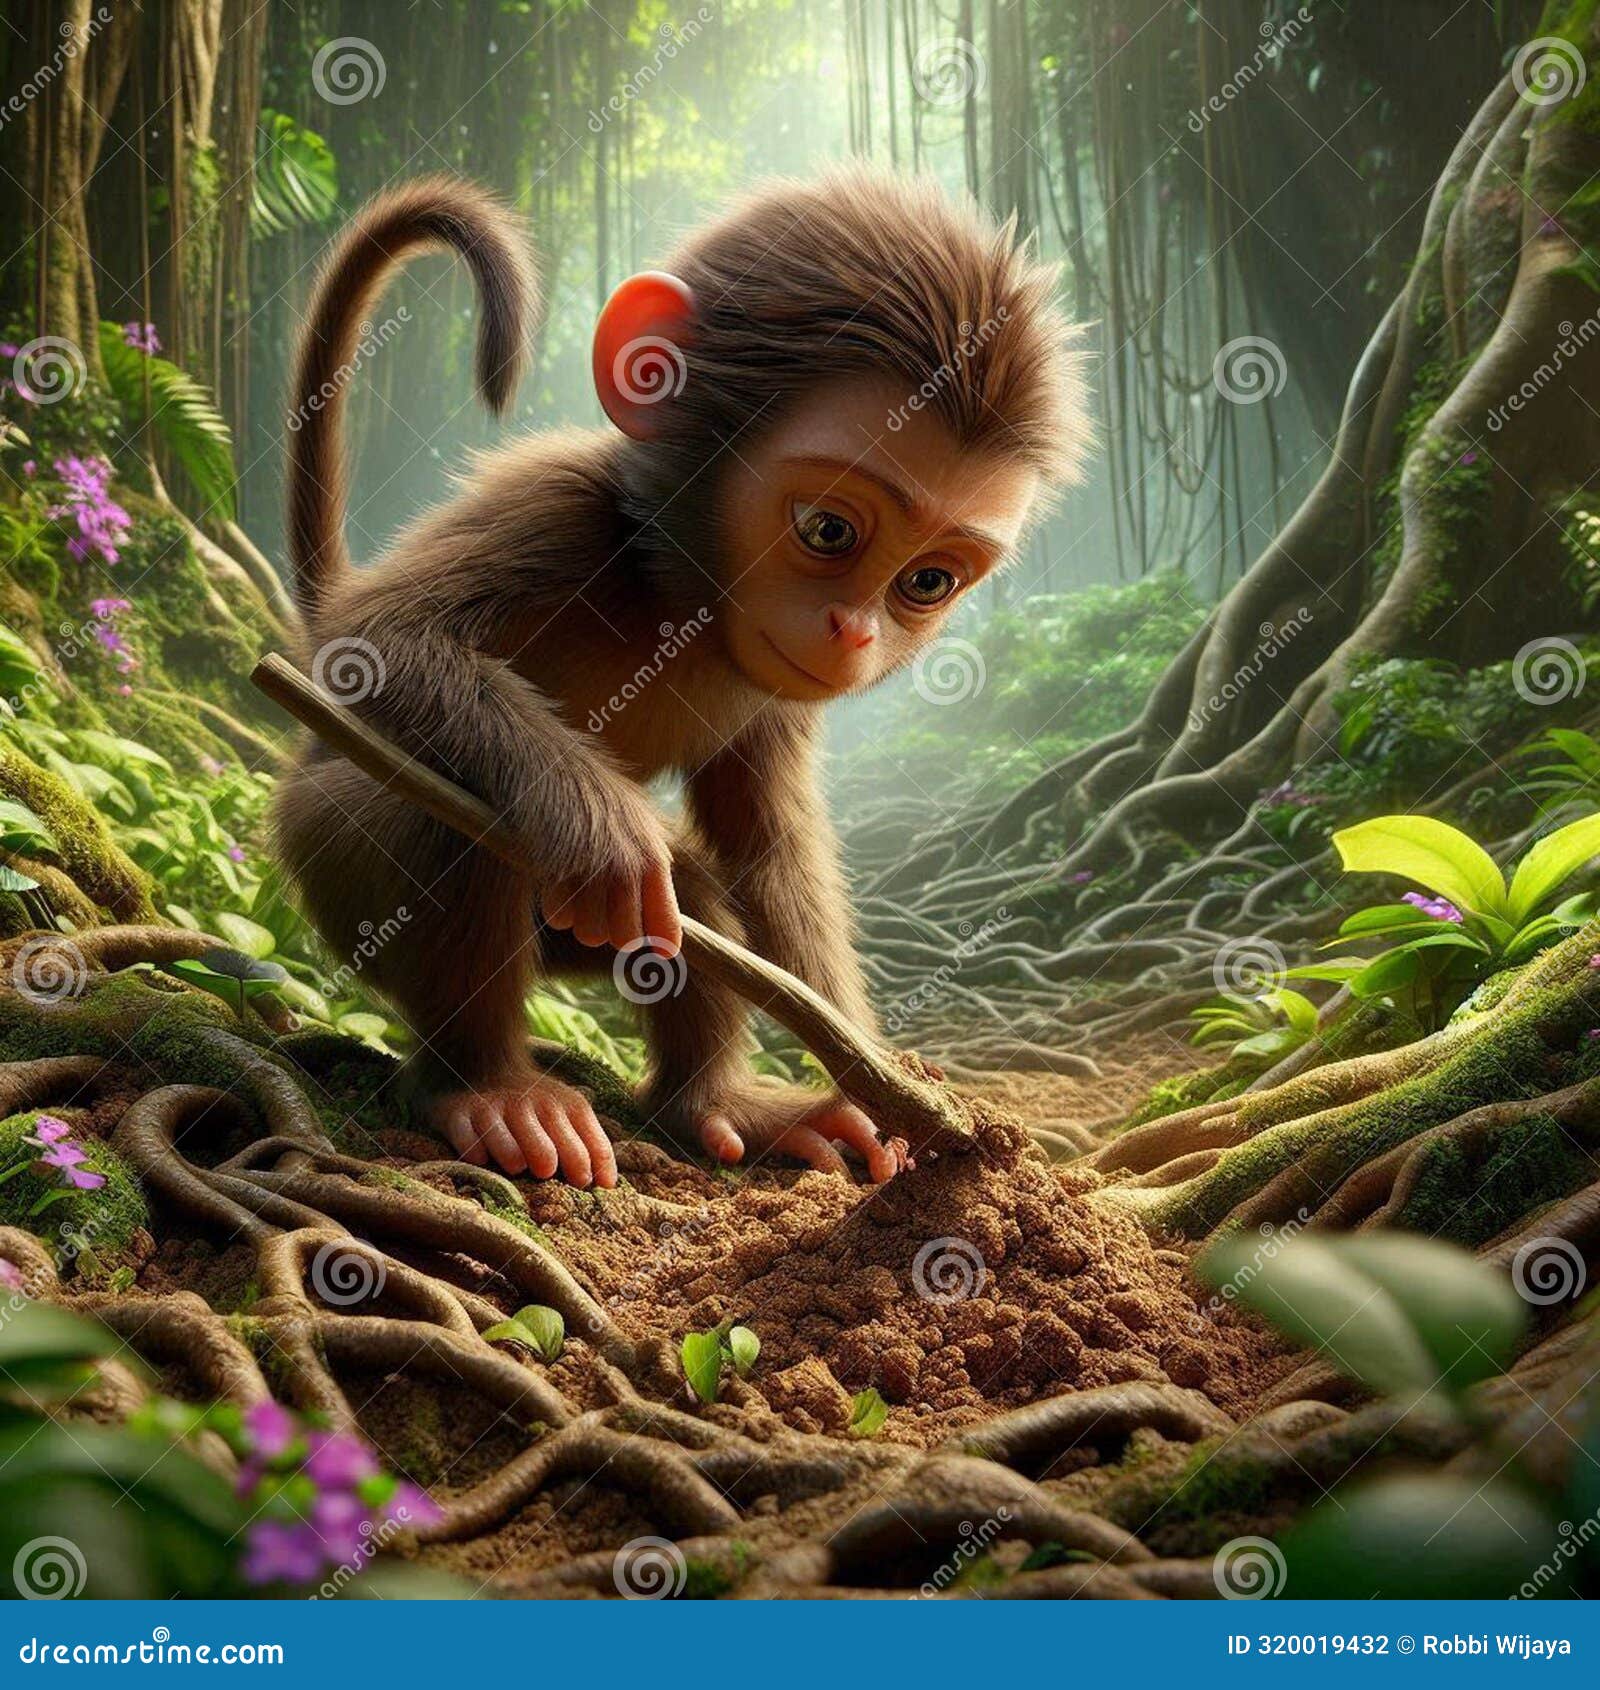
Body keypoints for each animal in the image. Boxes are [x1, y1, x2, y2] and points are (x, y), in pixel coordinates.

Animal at [273, 166, 1090, 1190]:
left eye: (927, 582)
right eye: (828, 529)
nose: (854, 633)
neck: (683, 597)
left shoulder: (777, 689)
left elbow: (766, 850)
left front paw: (876, 1079)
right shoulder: (557, 501)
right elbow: (383, 639)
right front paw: (601, 828)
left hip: (572, 937)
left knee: (694, 896)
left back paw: (712, 1104)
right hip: (325, 852)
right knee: (453, 825)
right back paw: (490, 1090)